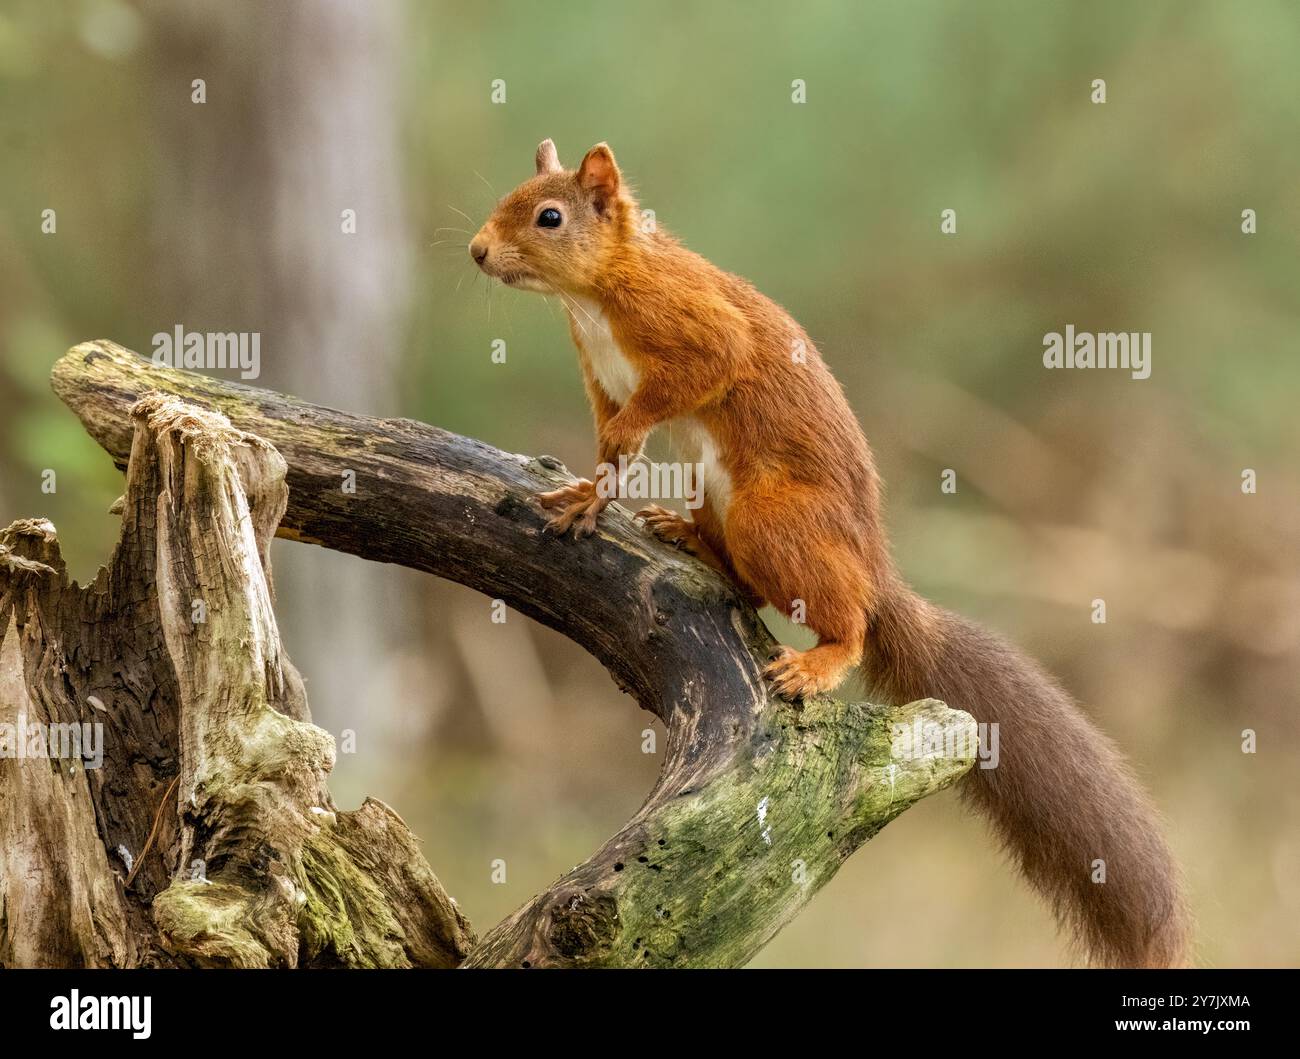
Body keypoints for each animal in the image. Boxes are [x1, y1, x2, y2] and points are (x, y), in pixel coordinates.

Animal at [469, 139, 1190, 968]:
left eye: (550, 217)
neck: (592, 298)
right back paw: (689, 537)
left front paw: (614, 460)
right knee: (745, 581)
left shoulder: (692, 324)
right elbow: (609, 455)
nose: (477, 250)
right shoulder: (599, 377)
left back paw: (820, 658)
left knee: (847, 619)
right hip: (720, 498)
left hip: (774, 522)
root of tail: (875, 568)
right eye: (508, 196)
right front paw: (588, 497)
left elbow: (696, 373)